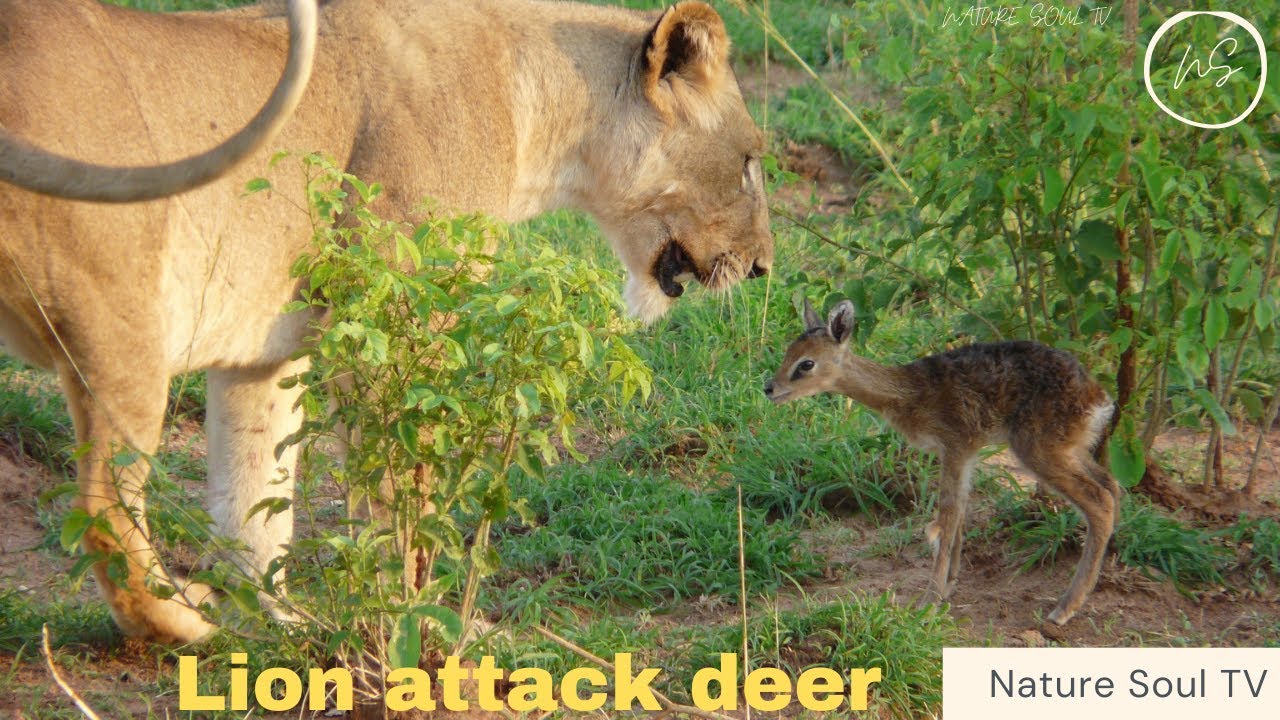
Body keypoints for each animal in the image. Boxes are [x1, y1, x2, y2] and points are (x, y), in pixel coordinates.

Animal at [0, 0, 773, 643]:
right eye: (747, 161)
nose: (764, 267)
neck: (547, 114)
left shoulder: (260, 357)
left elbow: (255, 499)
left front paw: (281, 624)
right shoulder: (400, 324)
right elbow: (402, 502)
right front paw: (413, 621)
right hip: (125, 326)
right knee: (102, 502)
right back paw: (184, 623)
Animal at [764, 299, 1120, 624]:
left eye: (806, 364)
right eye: (788, 351)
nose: (769, 388)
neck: (909, 392)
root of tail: (1099, 400)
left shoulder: (956, 447)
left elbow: (945, 518)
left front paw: (928, 602)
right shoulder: (965, 454)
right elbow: (959, 514)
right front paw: (949, 586)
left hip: (1037, 451)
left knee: (1100, 501)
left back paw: (1063, 609)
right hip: (1070, 450)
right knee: (1112, 485)